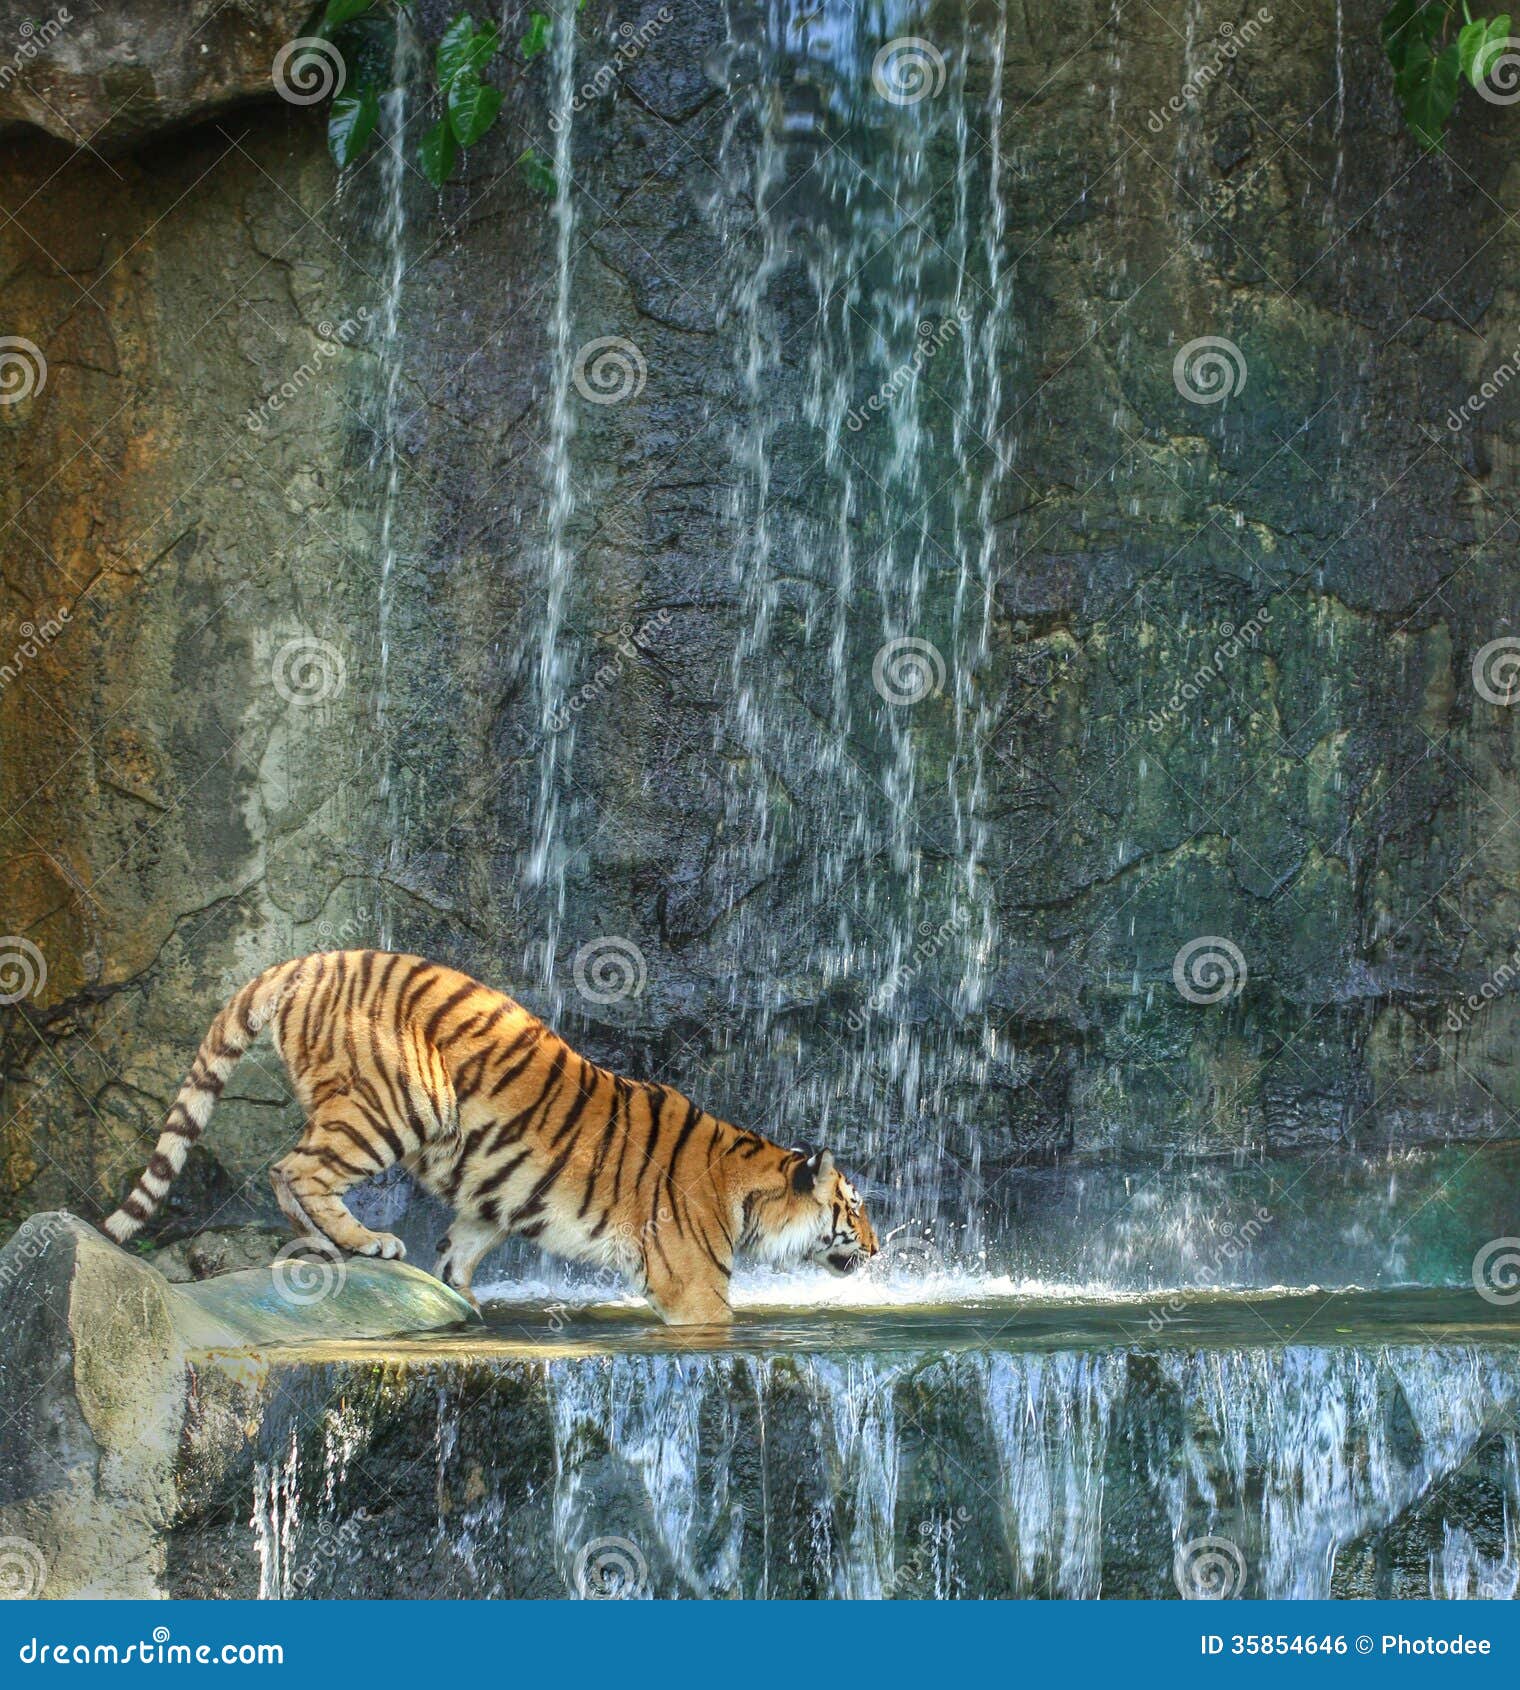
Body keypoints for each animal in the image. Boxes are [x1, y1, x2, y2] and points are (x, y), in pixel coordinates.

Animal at [102, 950, 880, 1324]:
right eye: (856, 1206)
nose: (876, 1250)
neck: (746, 1186)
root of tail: (308, 960)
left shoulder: (495, 1198)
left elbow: (459, 1251)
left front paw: (463, 1302)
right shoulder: (694, 1287)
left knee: (287, 1170)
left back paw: (326, 1247)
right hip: (397, 1104)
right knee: (296, 1167)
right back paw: (365, 1242)